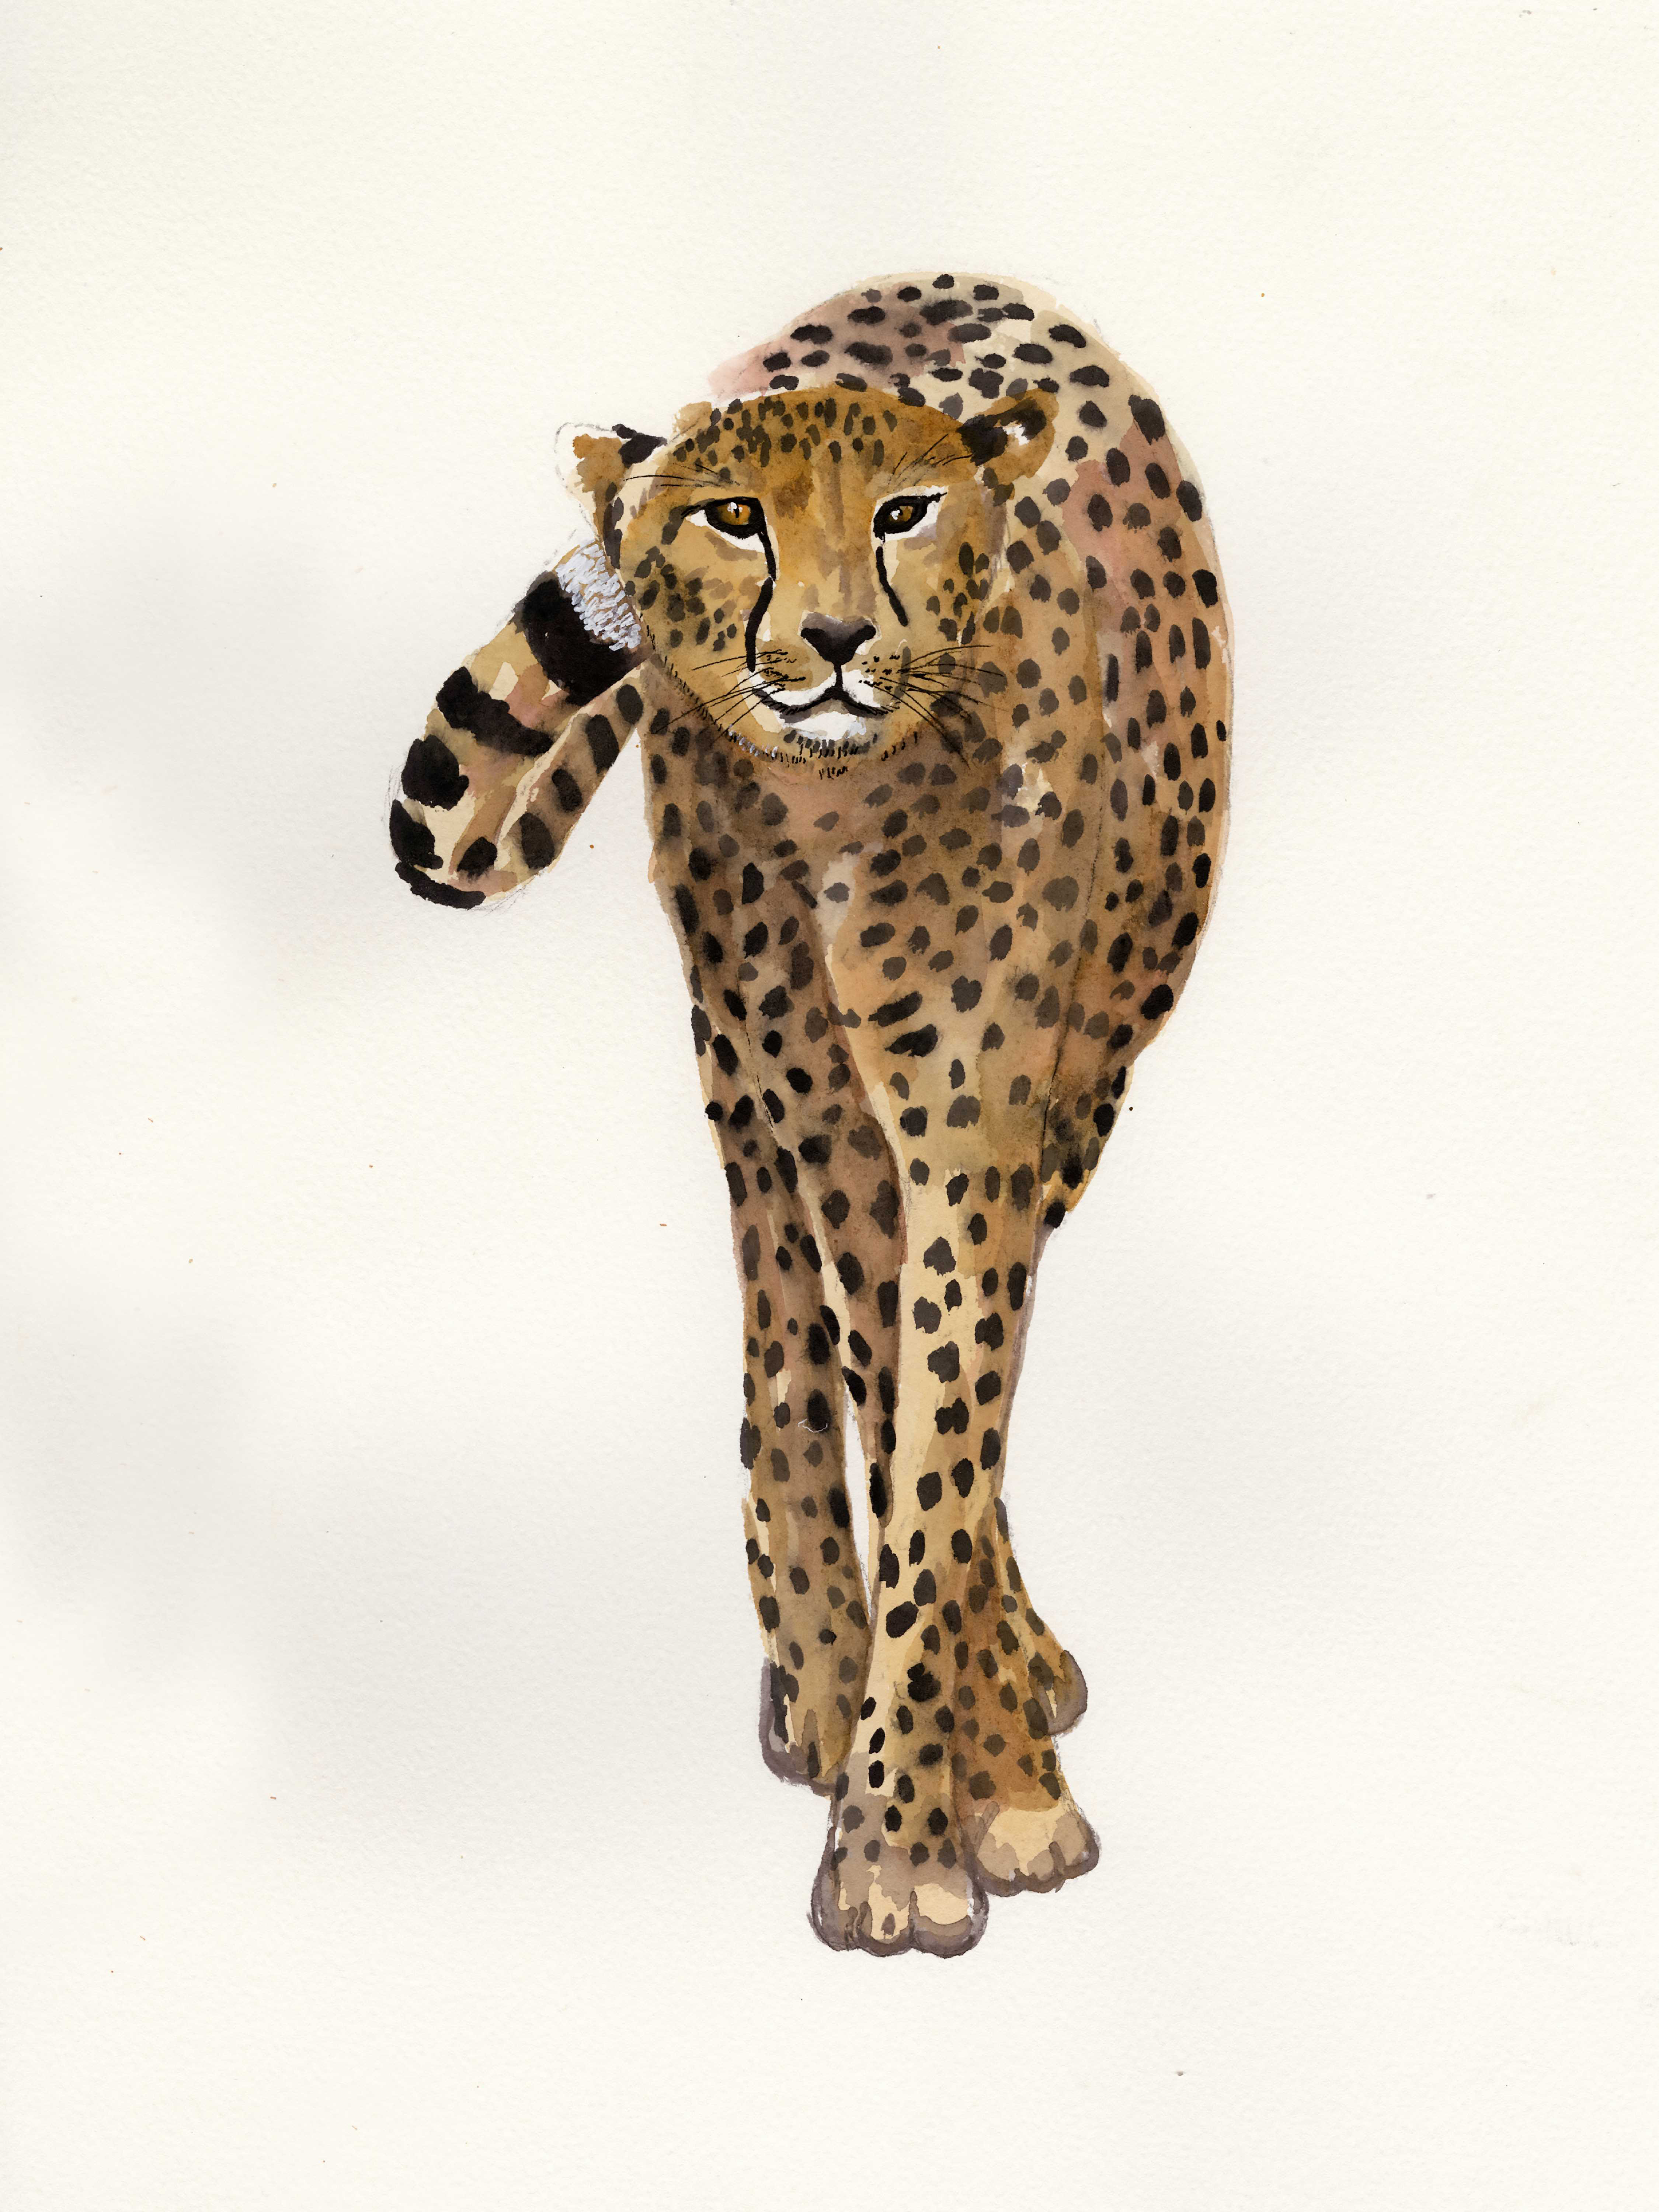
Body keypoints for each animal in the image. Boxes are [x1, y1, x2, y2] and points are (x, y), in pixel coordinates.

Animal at [389, 273, 1232, 1956]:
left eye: (906, 509)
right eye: (735, 518)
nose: (834, 639)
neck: (845, 803)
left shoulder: (980, 1131)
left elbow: (949, 1441)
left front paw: (970, 1800)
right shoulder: (847, 1133)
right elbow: (908, 1417)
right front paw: (929, 1818)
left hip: (1079, 1067)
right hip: (743, 1053)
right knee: (782, 1332)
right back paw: (820, 1681)